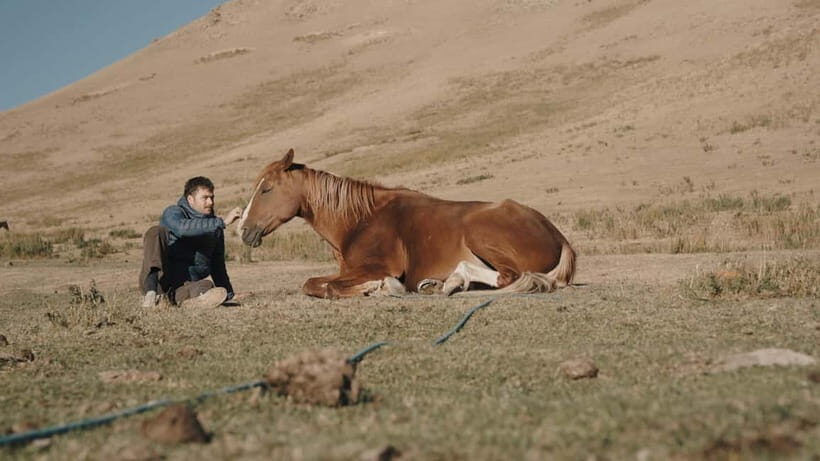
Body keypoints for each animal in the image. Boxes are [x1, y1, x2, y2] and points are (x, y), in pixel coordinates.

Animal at [239, 149, 576, 299]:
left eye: (267, 189)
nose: (243, 230)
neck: (360, 219)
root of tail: (558, 236)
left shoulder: (375, 266)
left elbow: (328, 287)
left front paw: (382, 287)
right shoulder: (349, 270)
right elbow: (312, 283)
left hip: (480, 233)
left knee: (509, 276)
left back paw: (451, 281)